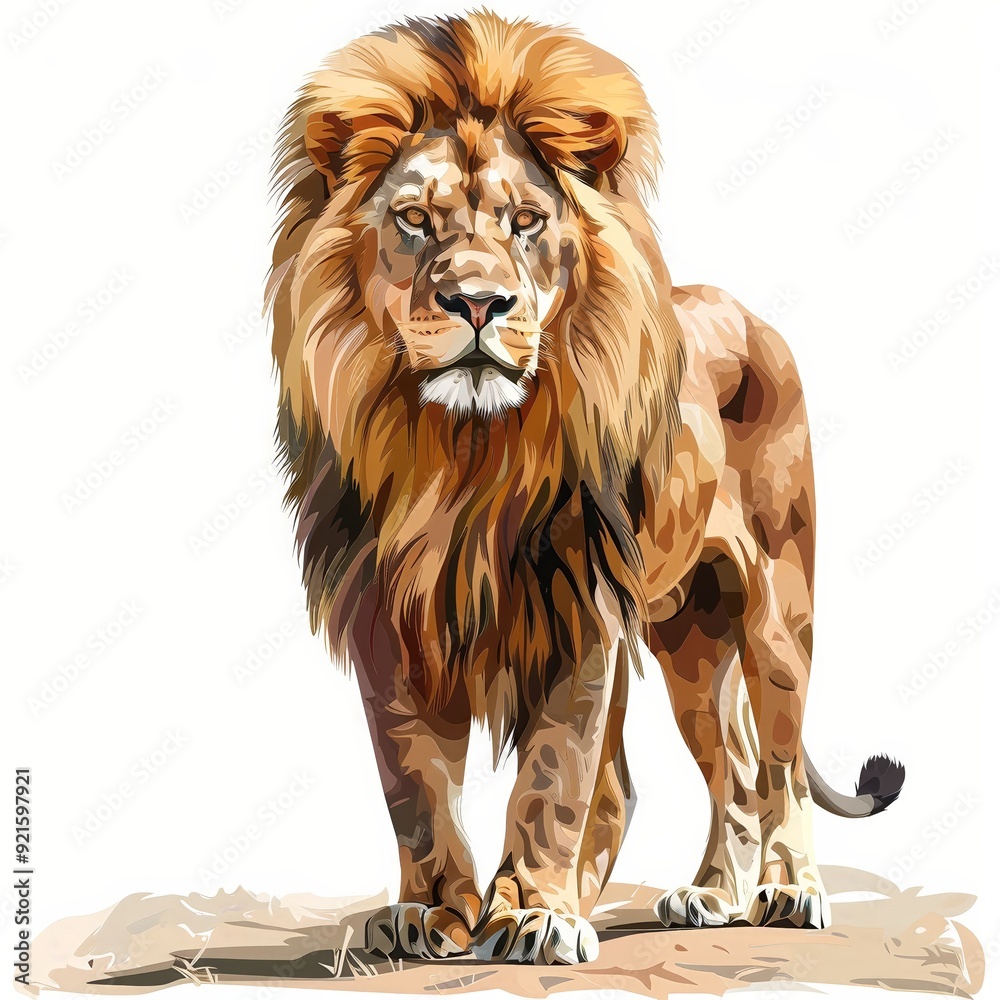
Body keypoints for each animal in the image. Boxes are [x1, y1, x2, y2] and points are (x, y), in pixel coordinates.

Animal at [266, 12, 905, 965]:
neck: (462, 450)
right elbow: (414, 786)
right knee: (727, 768)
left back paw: (790, 892)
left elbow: (554, 775)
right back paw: (713, 896)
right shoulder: (389, 618)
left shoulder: (577, 604)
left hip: (776, 611)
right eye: (414, 221)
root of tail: (750, 315)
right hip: (688, 633)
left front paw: (536, 914)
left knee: (779, 766)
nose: (479, 303)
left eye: (527, 222)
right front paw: (432, 913)